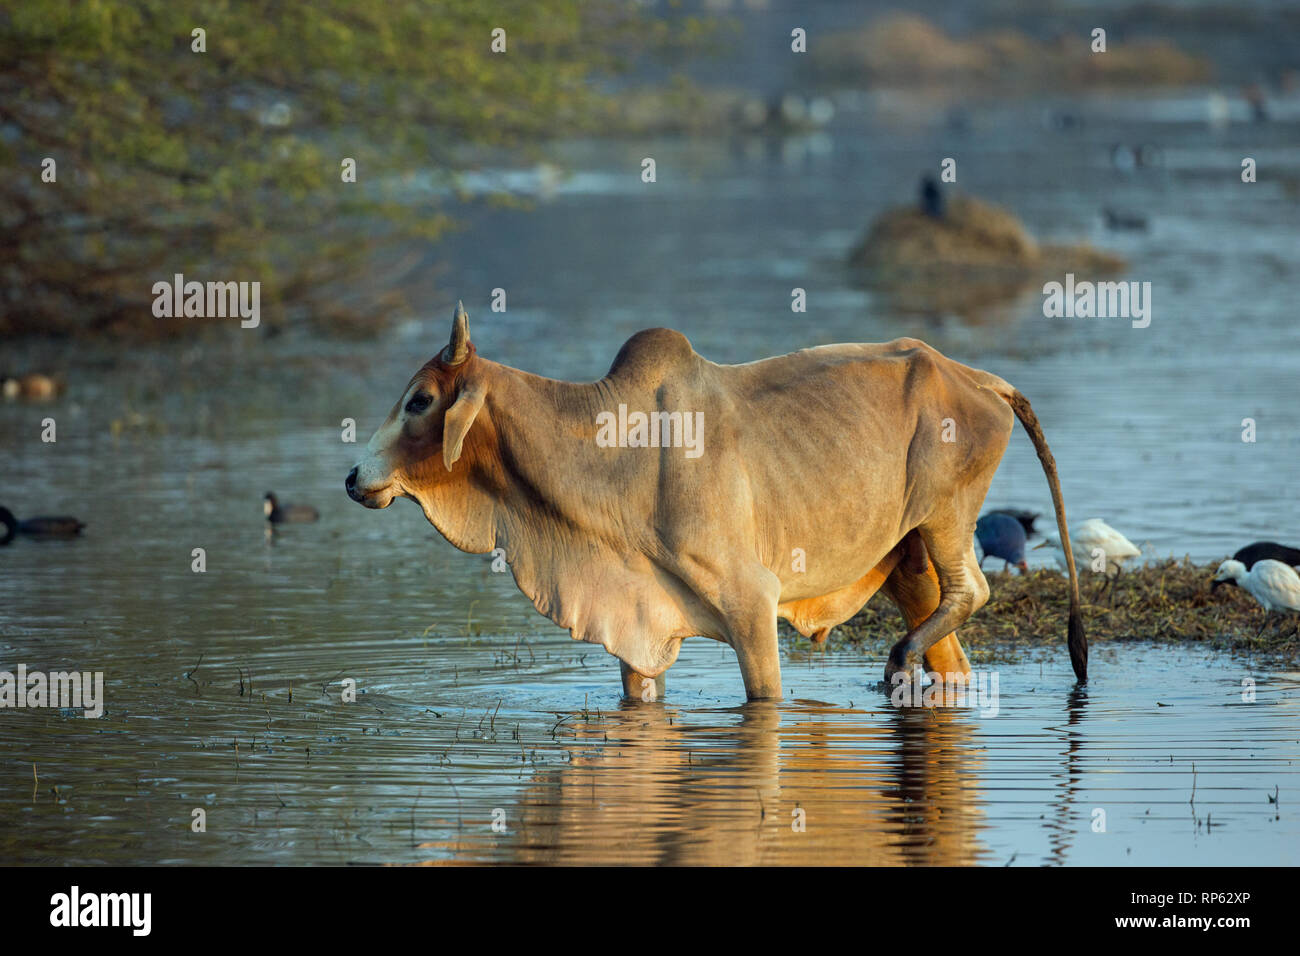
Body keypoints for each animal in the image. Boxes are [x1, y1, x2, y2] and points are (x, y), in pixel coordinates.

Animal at [346, 303, 1087, 701]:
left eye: (420, 400)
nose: (355, 477)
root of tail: (981, 379)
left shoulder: (750, 605)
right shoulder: (634, 626)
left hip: (945, 515)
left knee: (972, 592)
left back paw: (898, 659)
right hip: (907, 556)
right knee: (953, 655)